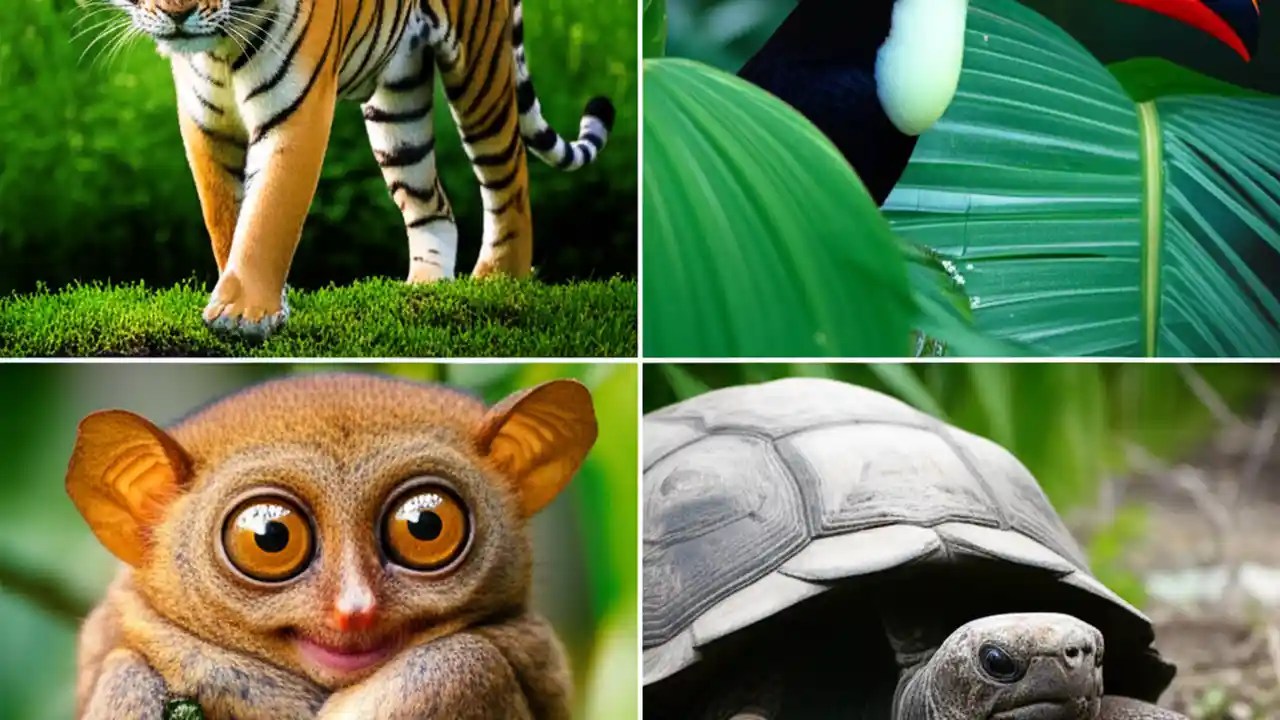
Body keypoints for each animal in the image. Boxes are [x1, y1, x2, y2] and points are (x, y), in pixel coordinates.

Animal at [103, 0, 616, 337]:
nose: (179, 13)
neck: (221, 50)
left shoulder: (298, 110)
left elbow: (268, 213)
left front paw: (245, 313)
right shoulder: (203, 122)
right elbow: (225, 218)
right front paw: (254, 303)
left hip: (478, 70)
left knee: (510, 180)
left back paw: (499, 282)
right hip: (399, 109)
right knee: (434, 205)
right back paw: (425, 291)